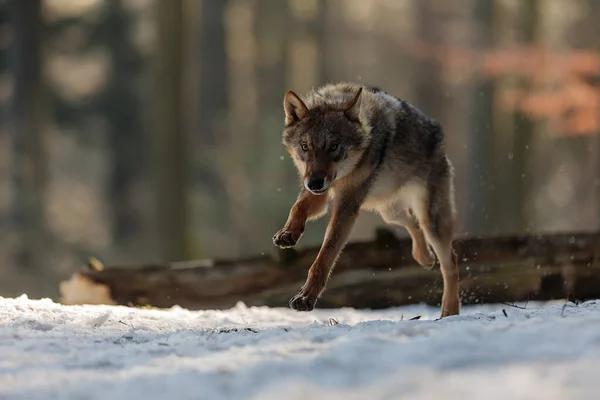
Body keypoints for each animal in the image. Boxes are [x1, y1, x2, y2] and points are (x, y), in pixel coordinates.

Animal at [272, 82, 460, 318]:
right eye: (305, 146)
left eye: (334, 146)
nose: (314, 183)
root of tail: (436, 130)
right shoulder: (319, 193)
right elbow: (297, 208)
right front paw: (287, 234)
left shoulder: (347, 206)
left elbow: (325, 256)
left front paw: (305, 297)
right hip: (391, 213)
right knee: (413, 224)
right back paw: (424, 257)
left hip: (430, 219)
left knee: (450, 262)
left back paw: (449, 312)